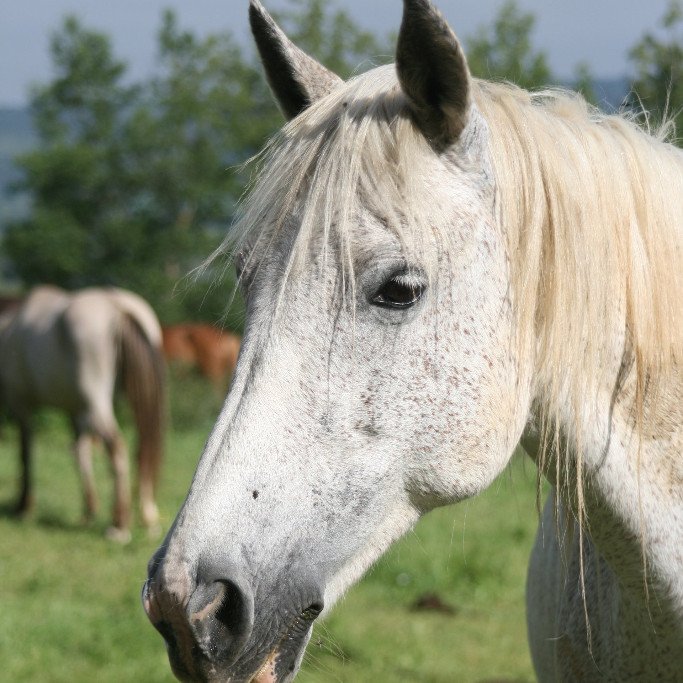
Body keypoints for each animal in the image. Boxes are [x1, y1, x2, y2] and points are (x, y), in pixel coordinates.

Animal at [0, 285, 165, 542]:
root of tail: (118, 307)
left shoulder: (21, 406)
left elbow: (25, 454)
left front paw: (24, 506)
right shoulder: (76, 412)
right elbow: (81, 453)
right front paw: (88, 512)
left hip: (97, 404)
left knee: (117, 448)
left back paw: (119, 524)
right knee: (144, 448)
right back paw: (148, 519)